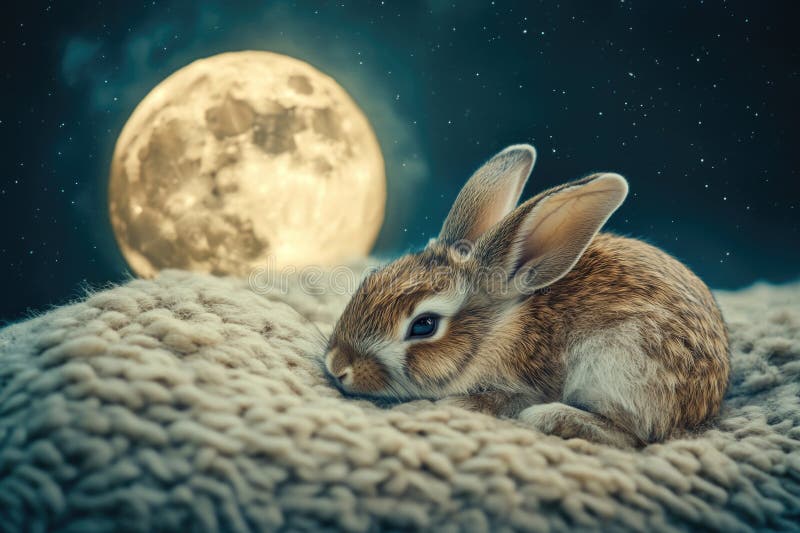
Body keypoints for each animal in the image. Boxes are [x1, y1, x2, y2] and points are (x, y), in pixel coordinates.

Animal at [324, 144, 730, 447]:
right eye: (373, 277)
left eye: (424, 325)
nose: (337, 366)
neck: (496, 332)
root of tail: (702, 406)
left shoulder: (526, 385)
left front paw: (454, 405)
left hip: (620, 361)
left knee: (635, 435)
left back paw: (548, 417)